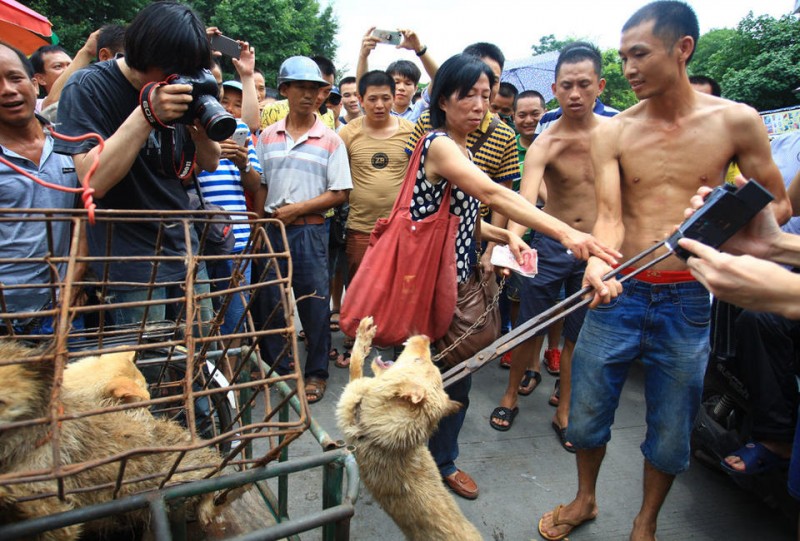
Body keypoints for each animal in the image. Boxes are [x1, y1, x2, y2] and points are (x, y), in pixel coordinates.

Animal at [332, 316, 478, 540]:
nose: (427, 336)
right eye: (424, 361)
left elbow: (356, 365)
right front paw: (366, 332)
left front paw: (362, 335)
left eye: (418, 361)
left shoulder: (351, 398)